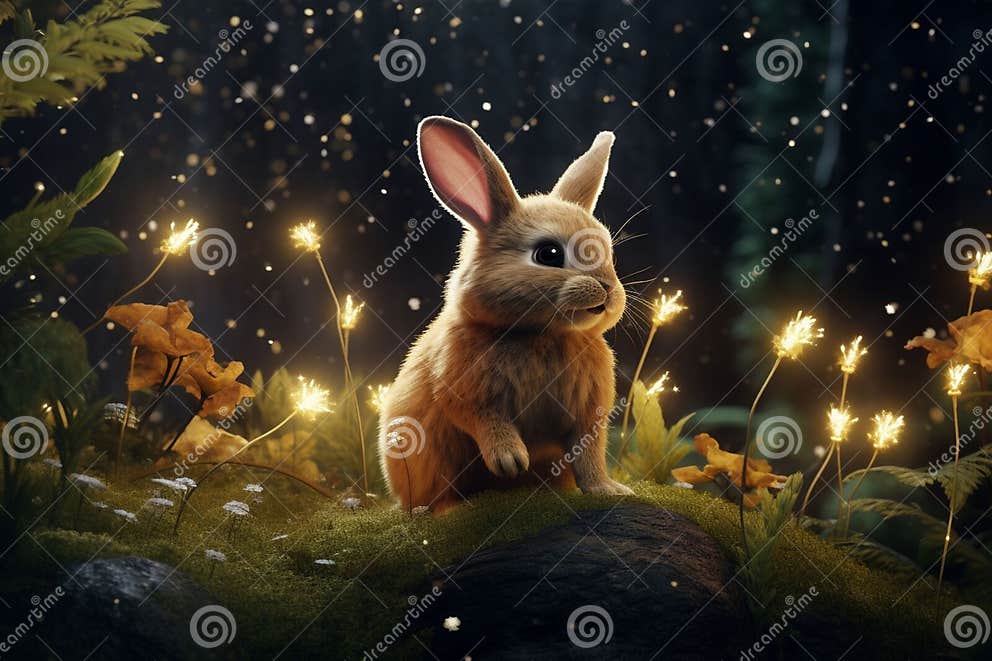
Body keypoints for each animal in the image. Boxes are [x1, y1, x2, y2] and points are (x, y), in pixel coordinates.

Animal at [378, 115, 632, 513]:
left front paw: (609, 490)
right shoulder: (467, 393)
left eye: (608, 252)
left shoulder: (588, 415)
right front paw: (511, 460)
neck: (541, 334)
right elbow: (487, 423)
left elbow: (588, 455)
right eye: (549, 254)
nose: (608, 290)